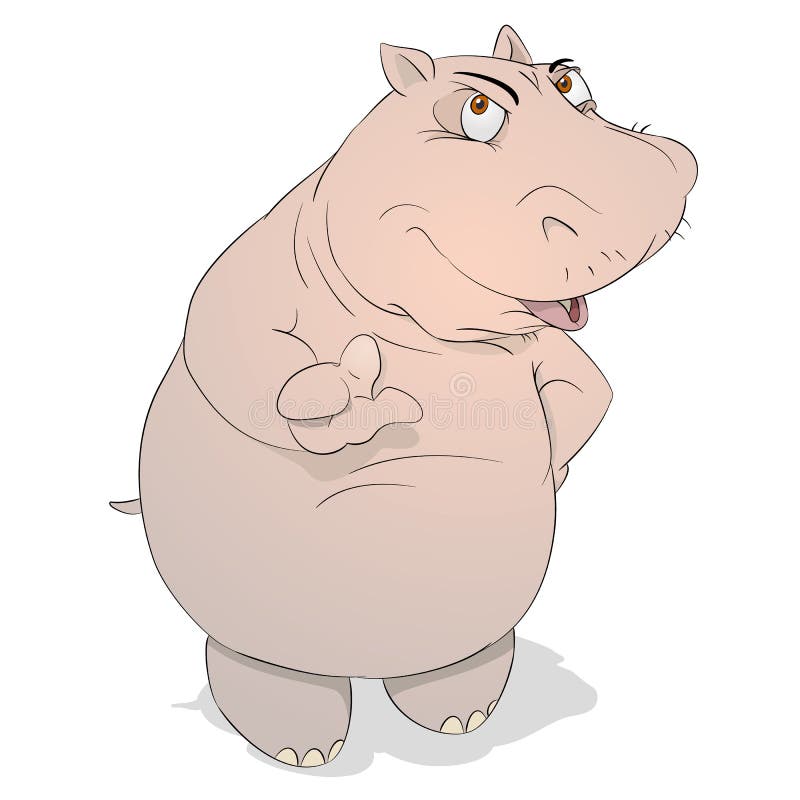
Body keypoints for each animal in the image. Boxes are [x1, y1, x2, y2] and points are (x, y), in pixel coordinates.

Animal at [112, 25, 696, 768]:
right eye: (479, 111)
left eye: (571, 83)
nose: (671, 171)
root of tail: (366, 666)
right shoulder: (236, 291)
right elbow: (243, 362)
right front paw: (347, 399)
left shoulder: (548, 347)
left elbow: (591, 392)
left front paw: (555, 469)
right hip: (253, 633)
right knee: (258, 664)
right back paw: (298, 744)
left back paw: (457, 713)